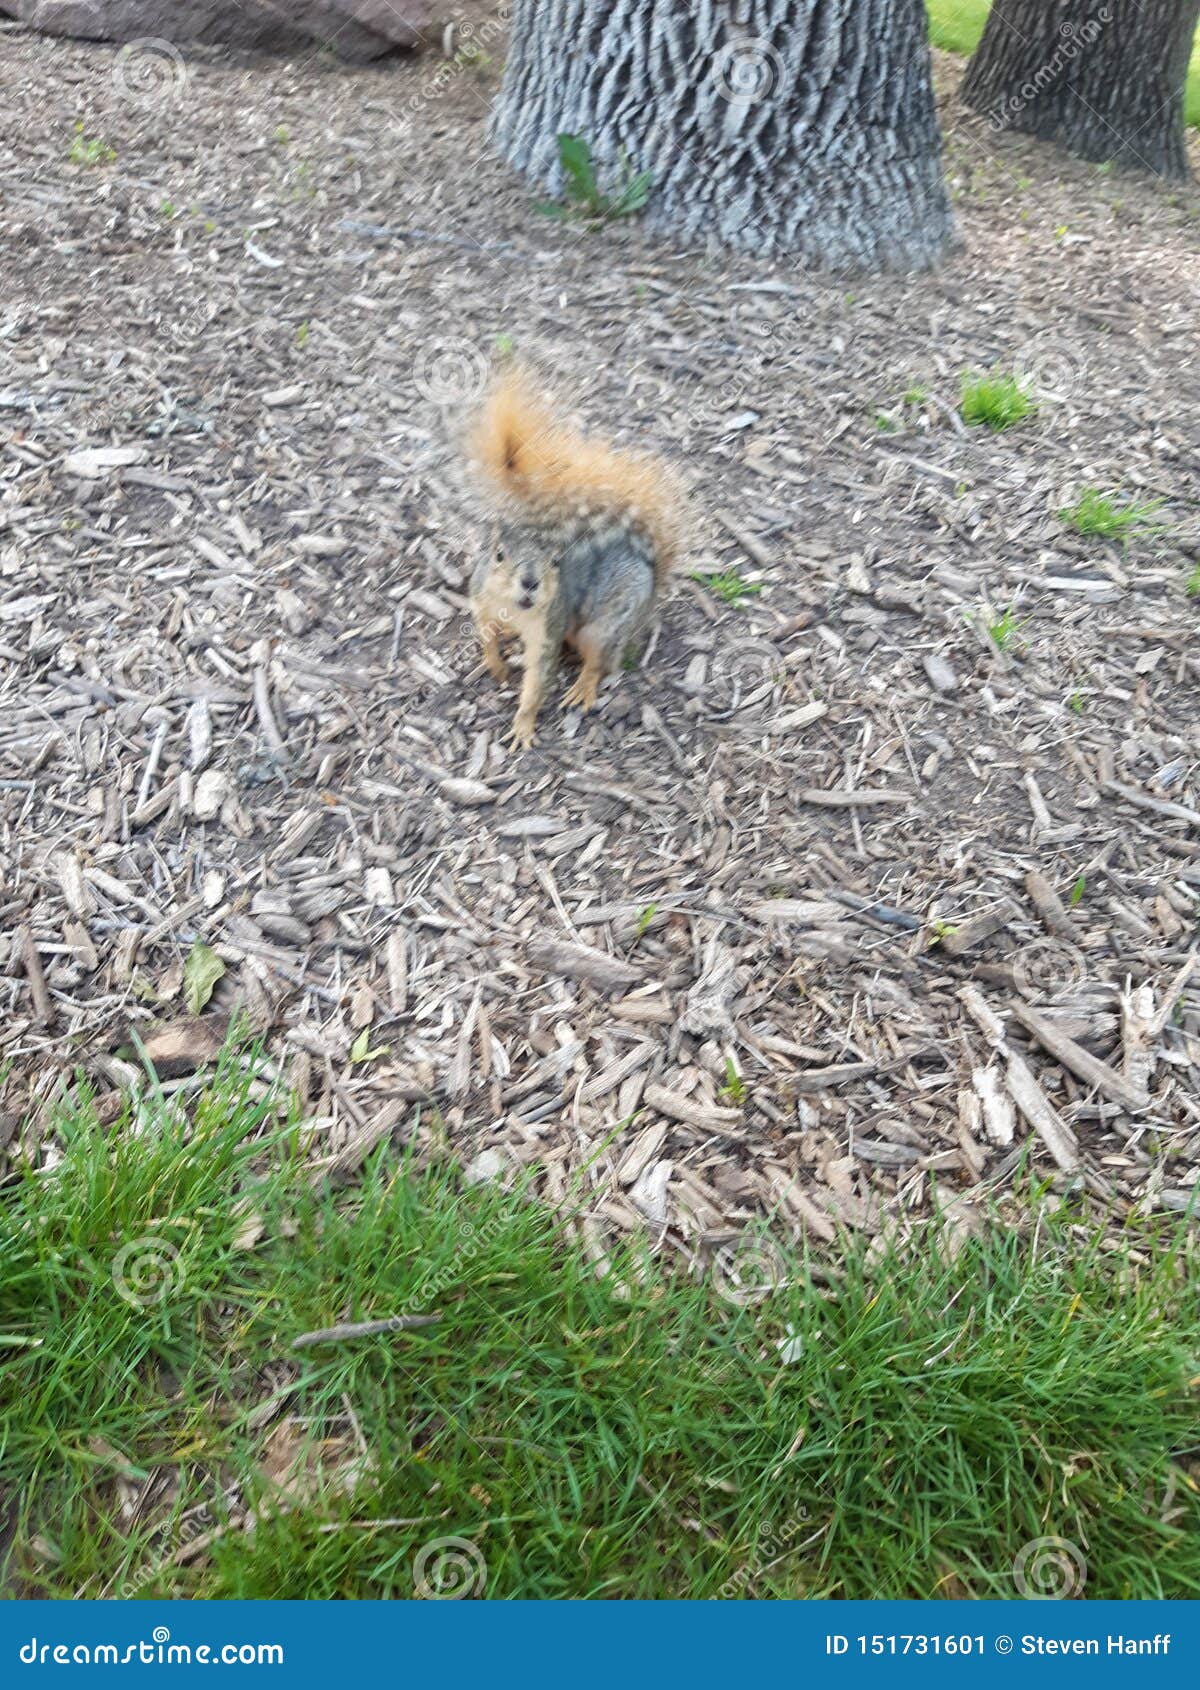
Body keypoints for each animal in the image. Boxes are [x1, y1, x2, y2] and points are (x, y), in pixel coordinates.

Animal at [467, 369, 688, 748]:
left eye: (557, 561)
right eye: (498, 554)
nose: (530, 582)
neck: (514, 610)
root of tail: (647, 567)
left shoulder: (548, 631)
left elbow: (537, 681)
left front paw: (523, 725)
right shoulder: (482, 601)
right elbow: (486, 635)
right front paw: (495, 663)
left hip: (605, 625)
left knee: (600, 663)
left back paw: (583, 688)